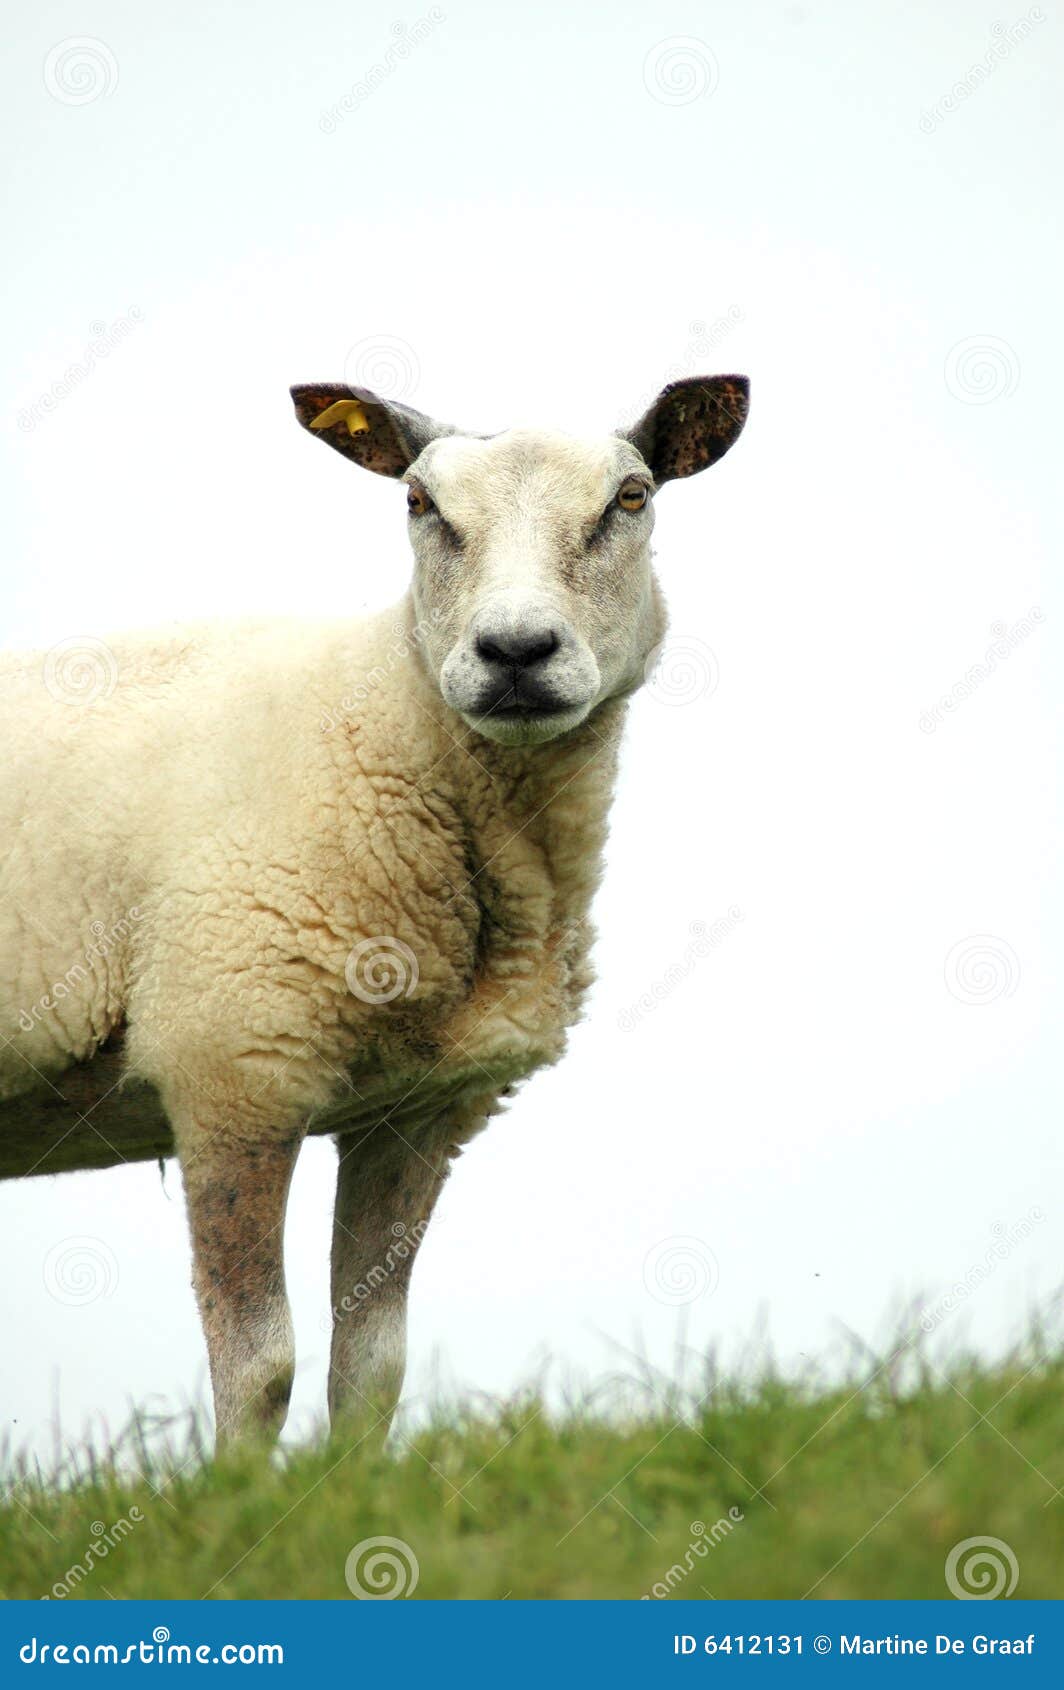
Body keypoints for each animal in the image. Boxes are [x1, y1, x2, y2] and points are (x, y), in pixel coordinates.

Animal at [0, 373, 749, 1445]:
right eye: (419, 503)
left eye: (632, 497)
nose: (514, 651)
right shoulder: (231, 1063)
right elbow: (259, 1364)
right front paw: (241, 1488)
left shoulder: (418, 1109)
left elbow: (373, 1364)